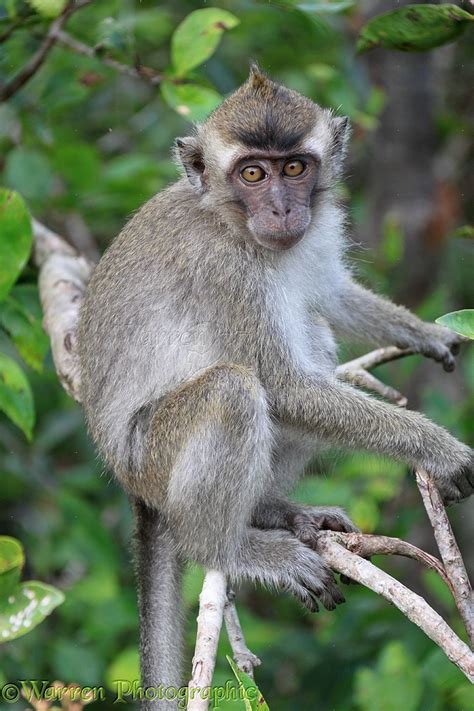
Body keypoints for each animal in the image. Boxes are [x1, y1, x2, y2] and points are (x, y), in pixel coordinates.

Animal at [77, 65, 473, 705]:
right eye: (252, 174)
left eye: (294, 168)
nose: (284, 209)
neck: (230, 219)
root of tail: (131, 481)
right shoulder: (224, 269)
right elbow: (284, 388)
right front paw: (438, 448)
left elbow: (330, 293)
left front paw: (425, 333)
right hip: (150, 454)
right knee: (234, 392)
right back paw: (228, 548)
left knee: (314, 334)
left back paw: (270, 510)